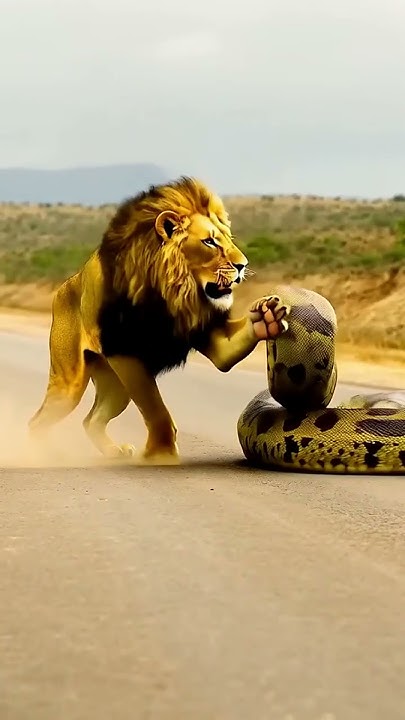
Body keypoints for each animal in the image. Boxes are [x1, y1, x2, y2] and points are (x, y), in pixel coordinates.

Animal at [28, 176, 290, 464]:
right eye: (209, 242)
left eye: (226, 239)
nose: (243, 265)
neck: (175, 294)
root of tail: (64, 286)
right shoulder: (125, 351)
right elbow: (156, 409)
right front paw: (162, 453)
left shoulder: (205, 333)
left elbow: (227, 351)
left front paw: (267, 315)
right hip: (69, 384)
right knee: (37, 421)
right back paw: (40, 453)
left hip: (115, 387)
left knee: (91, 419)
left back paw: (113, 451)